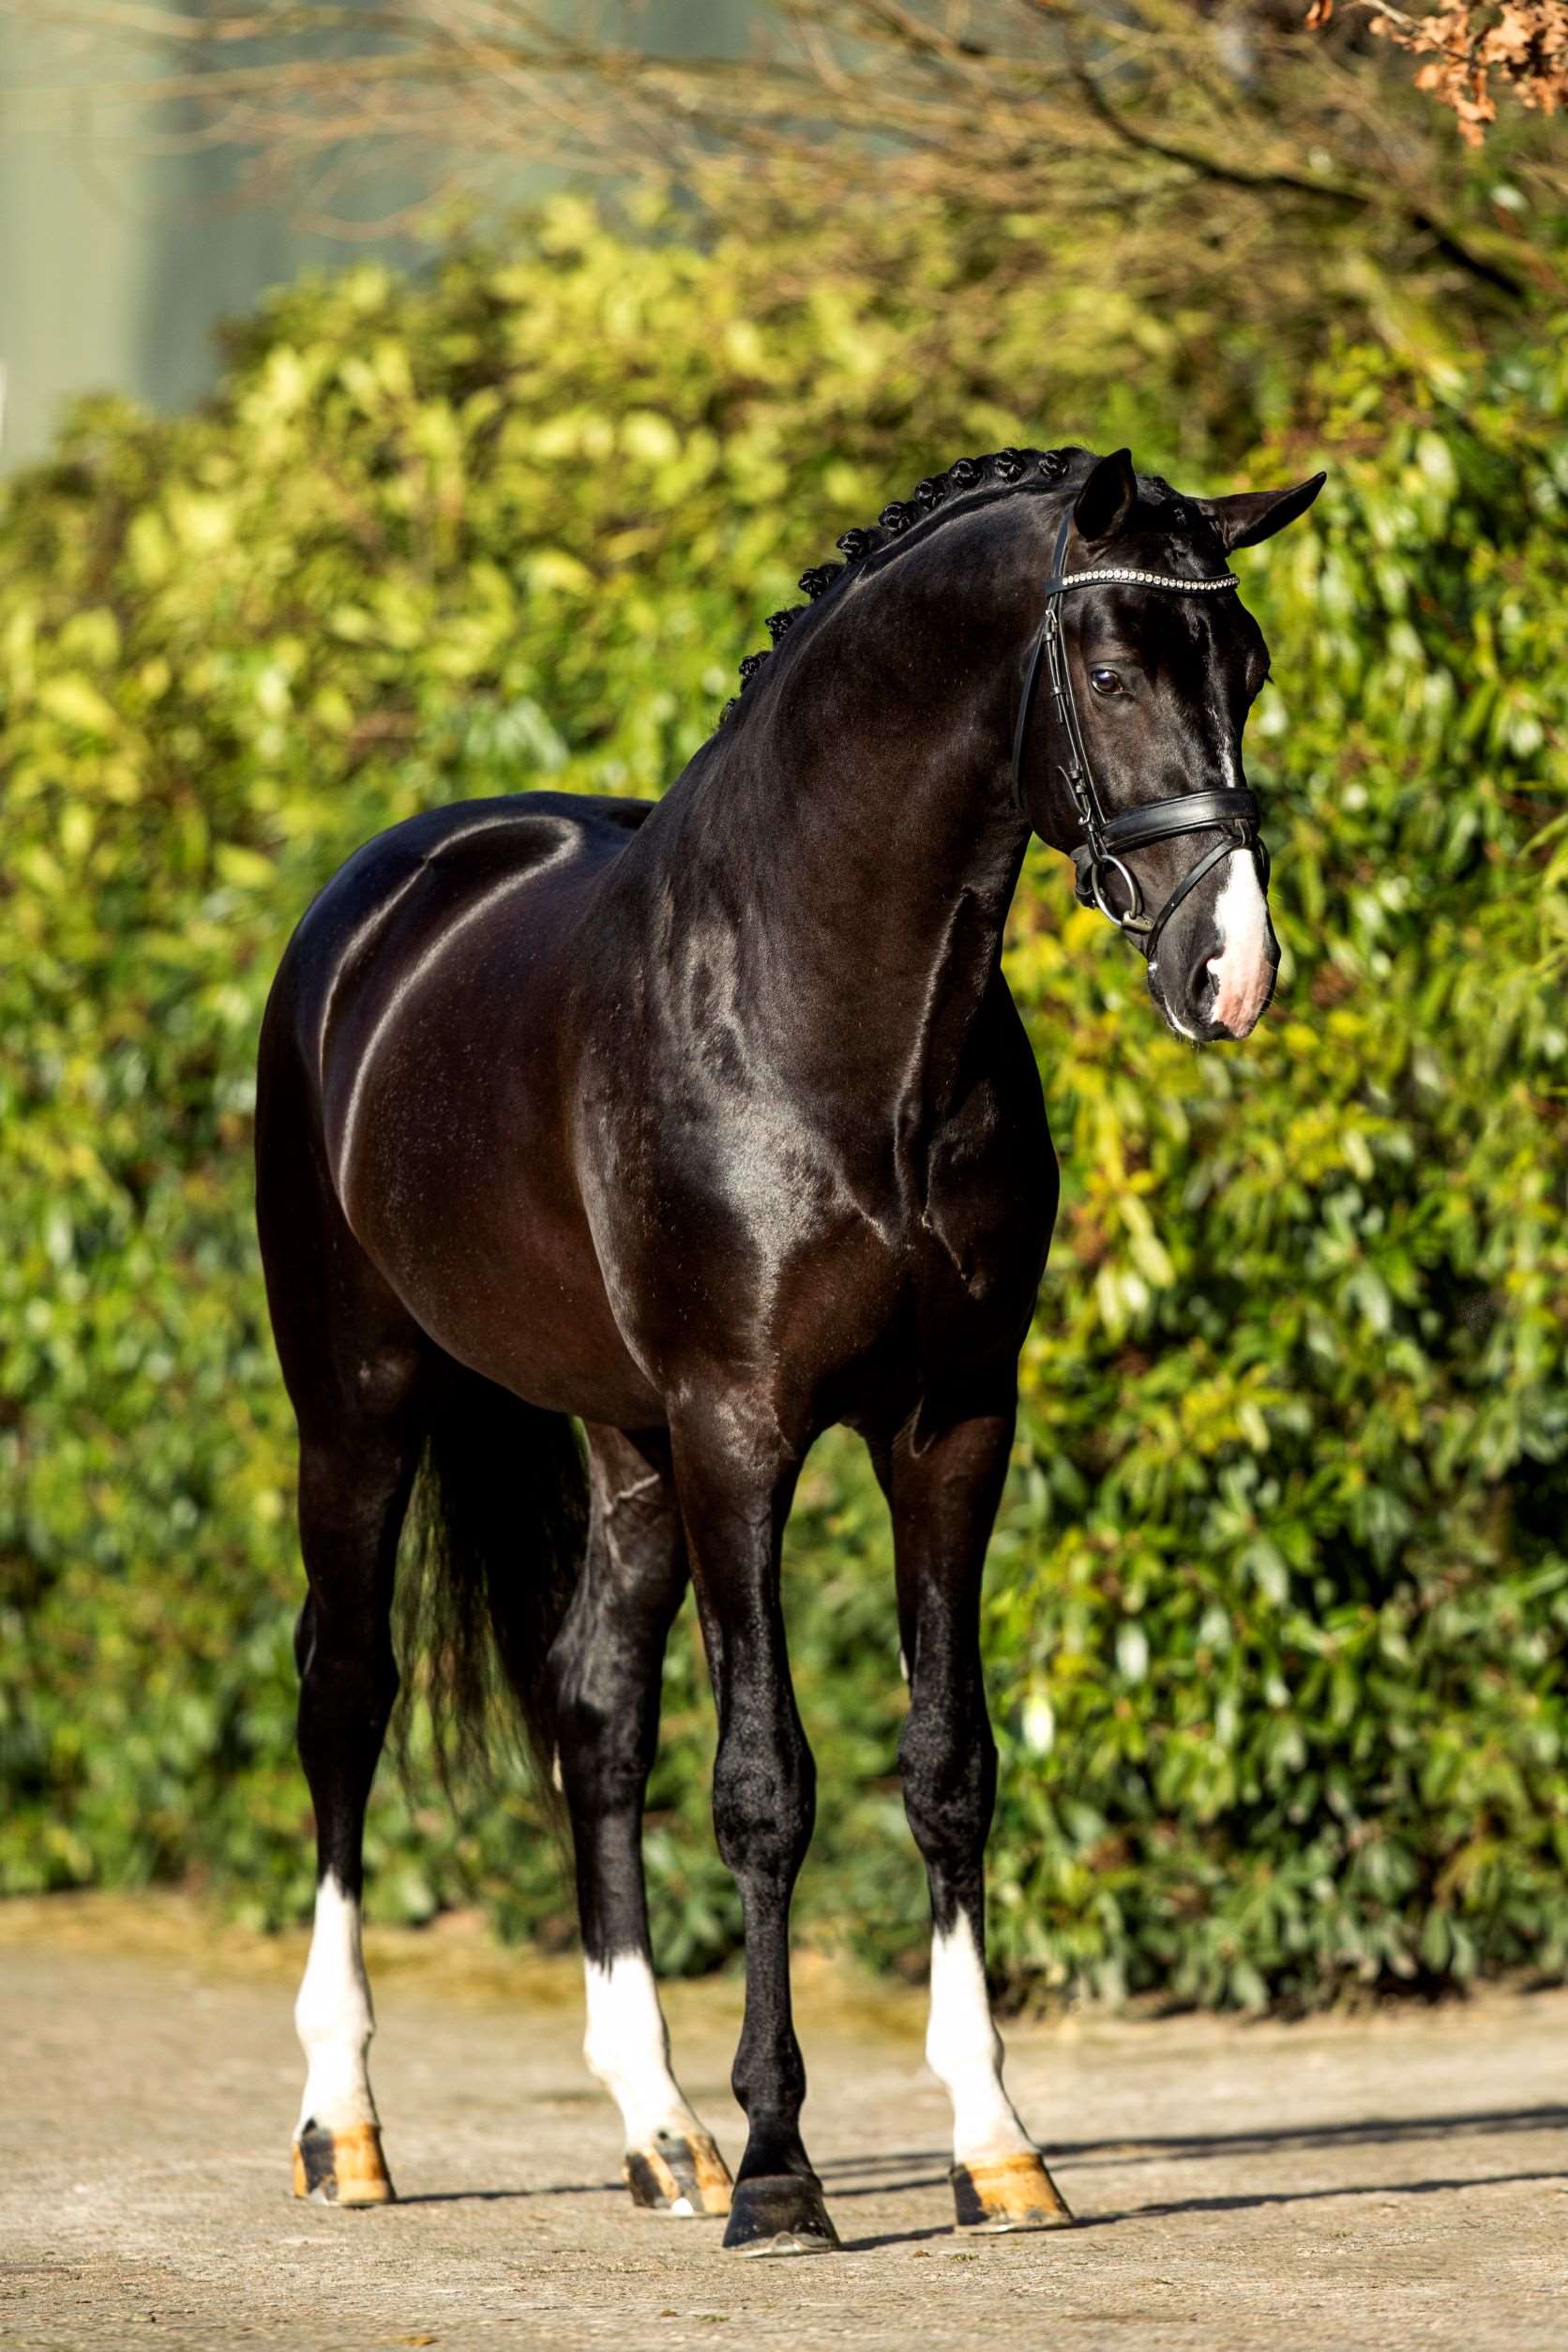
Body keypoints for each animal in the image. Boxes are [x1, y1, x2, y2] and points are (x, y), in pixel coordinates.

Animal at [255, 441, 1323, 2253]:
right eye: (1113, 672)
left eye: (1242, 670)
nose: (1229, 969)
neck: (827, 1016)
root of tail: (375, 908)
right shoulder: (741, 1430)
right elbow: (766, 1784)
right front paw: (782, 2173)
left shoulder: (950, 1426)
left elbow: (946, 1763)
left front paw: (994, 2145)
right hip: (363, 1404)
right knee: (348, 1695)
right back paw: (348, 2125)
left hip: (624, 1444)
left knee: (594, 1714)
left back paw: (656, 2130)